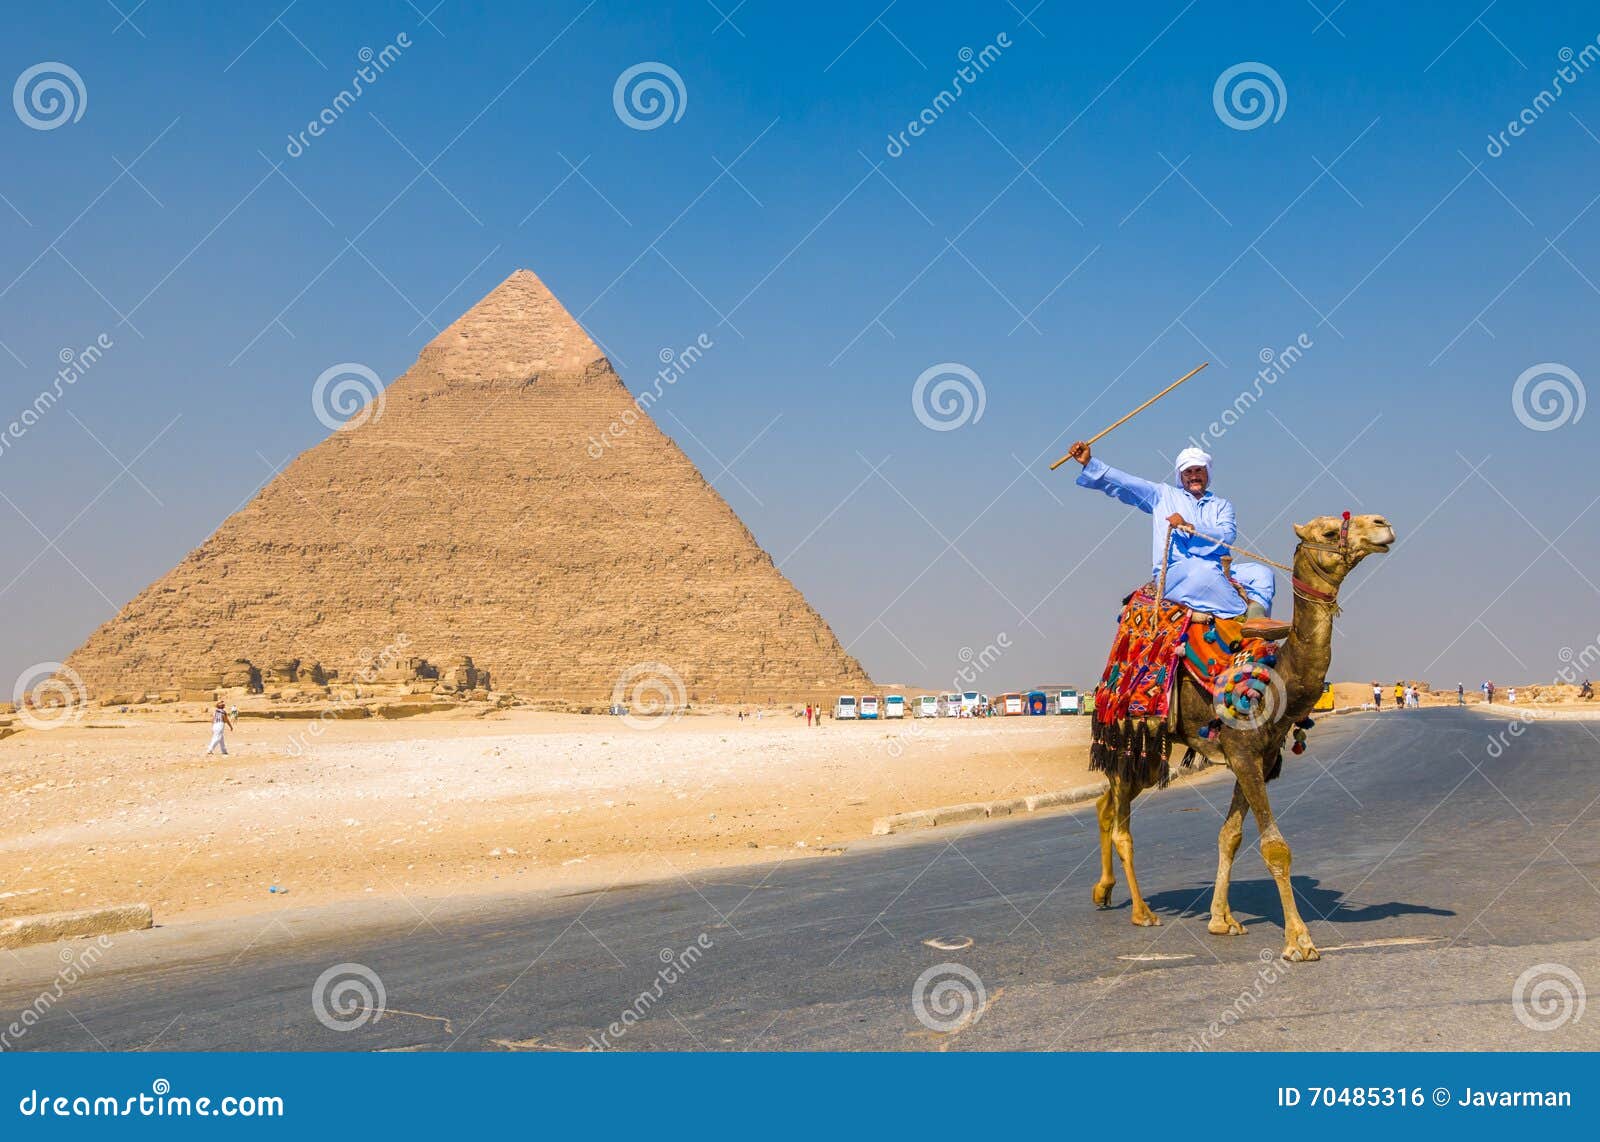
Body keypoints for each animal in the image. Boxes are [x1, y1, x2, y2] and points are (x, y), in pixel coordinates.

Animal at [1091, 512, 1396, 962]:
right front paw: (1299, 941)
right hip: (1133, 730)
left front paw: (1222, 919)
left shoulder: (1257, 758)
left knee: (1107, 803)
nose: (1382, 524)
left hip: (1149, 751)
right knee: (1121, 822)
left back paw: (1104, 891)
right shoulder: (1243, 753)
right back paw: (1142, 911)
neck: (1275, 680)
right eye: (1327, 531)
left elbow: (1230, 836)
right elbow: (1275, 847)